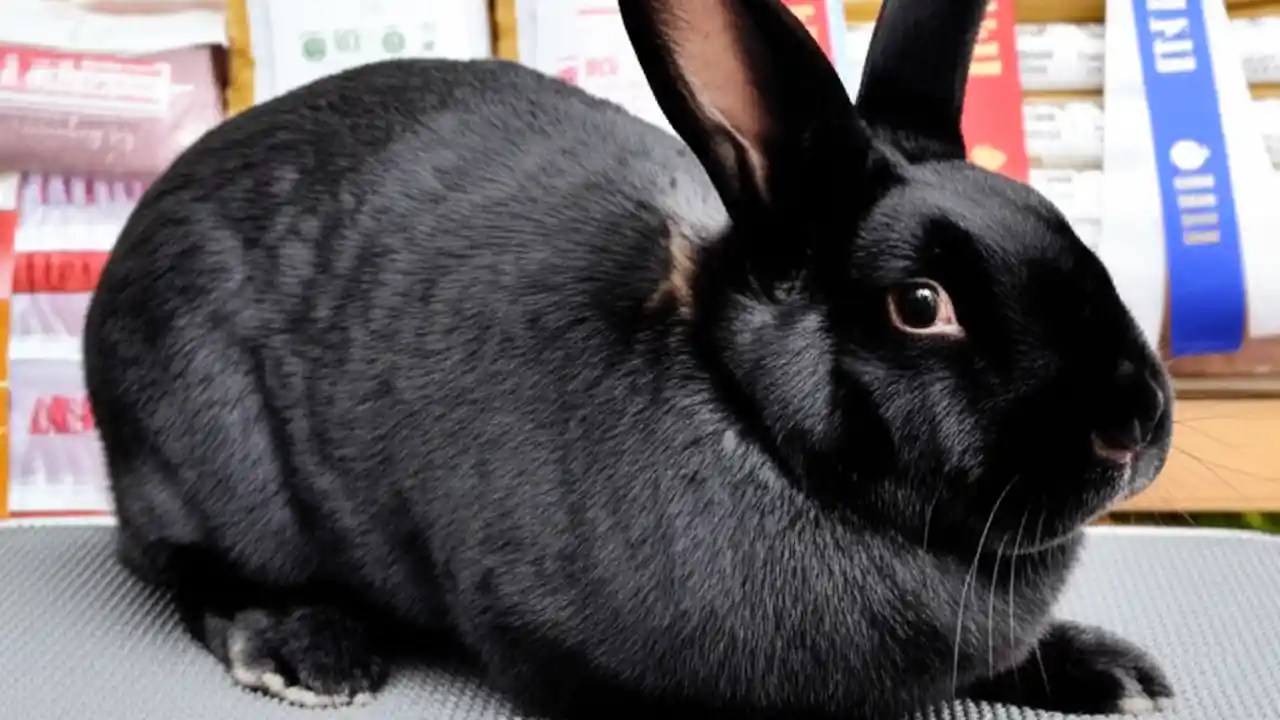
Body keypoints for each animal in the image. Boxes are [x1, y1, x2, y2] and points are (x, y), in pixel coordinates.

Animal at [82, 0, 1175, 717]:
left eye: (1060, 224)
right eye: (919, 305)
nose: (1135, 425)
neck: (750, 423)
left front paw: (1108, 673)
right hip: (205, 454)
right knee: (181, 565)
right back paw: (304, 647)